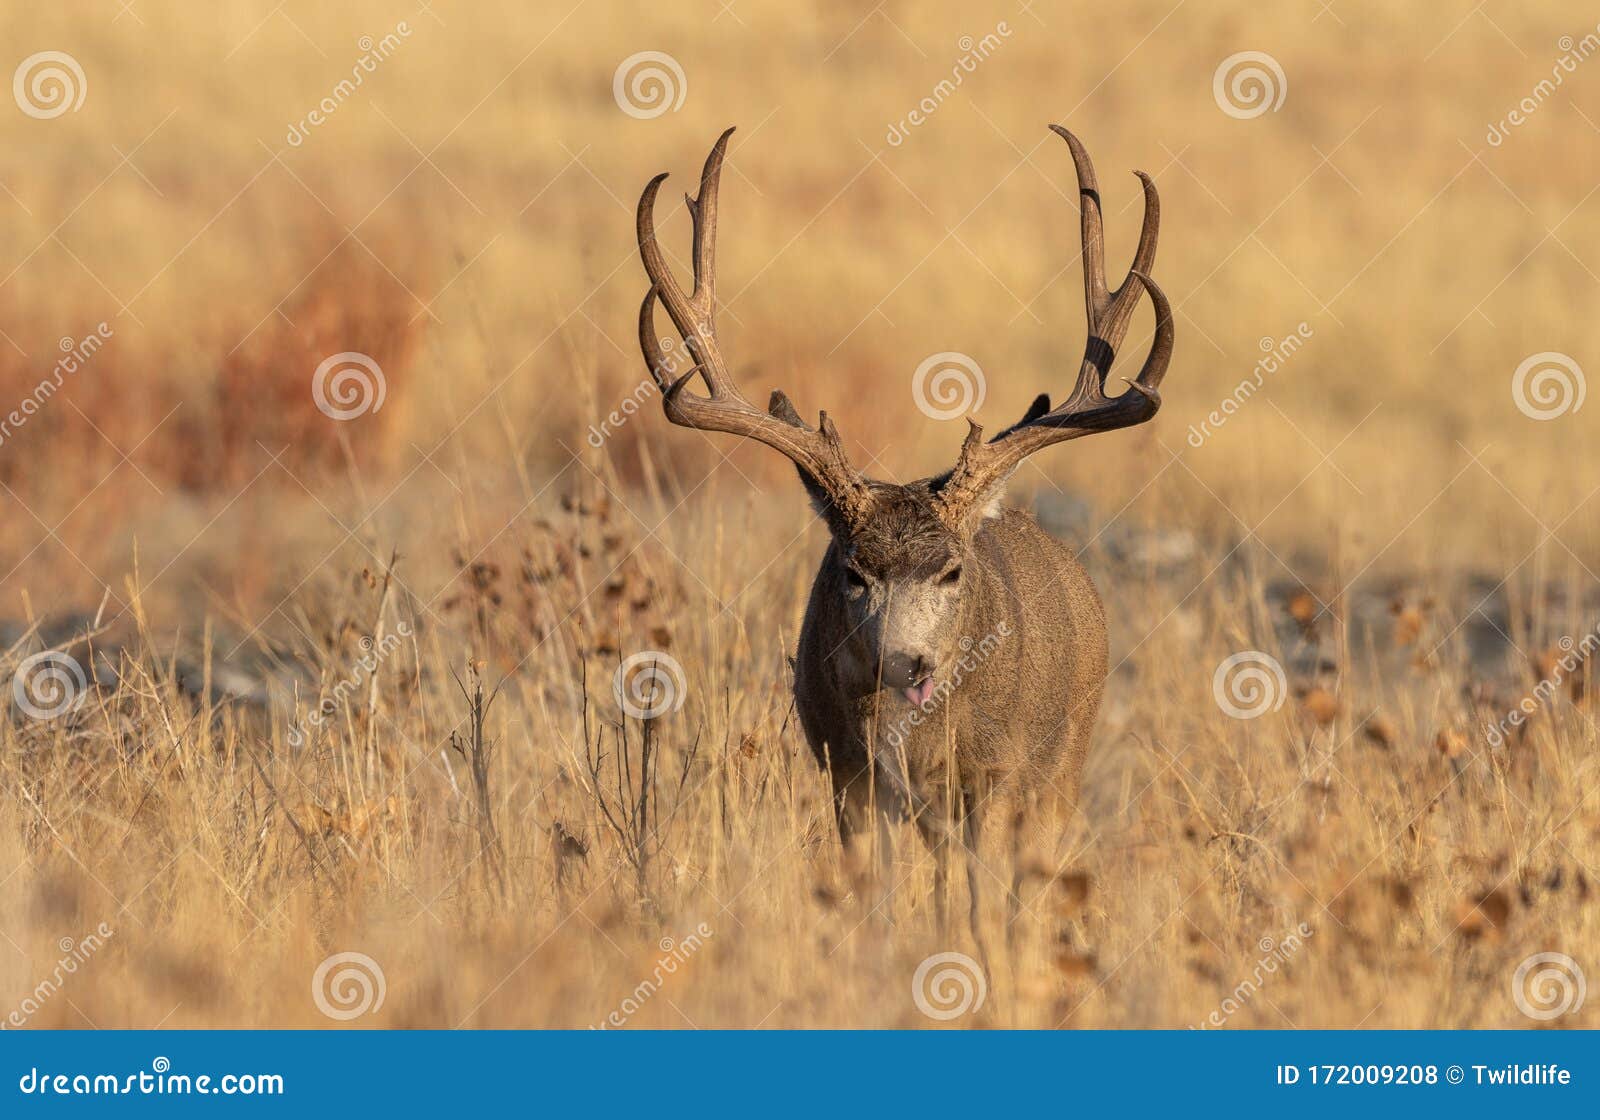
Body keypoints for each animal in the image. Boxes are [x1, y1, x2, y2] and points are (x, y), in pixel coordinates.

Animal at [634, 125, 1173, 961]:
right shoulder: (846, 772)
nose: (906, 661)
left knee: (1027, 883)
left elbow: (986, 908)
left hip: (1063, 766)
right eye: (854, 571)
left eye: (951, 572)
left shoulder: (995, 773)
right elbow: (876, 901)